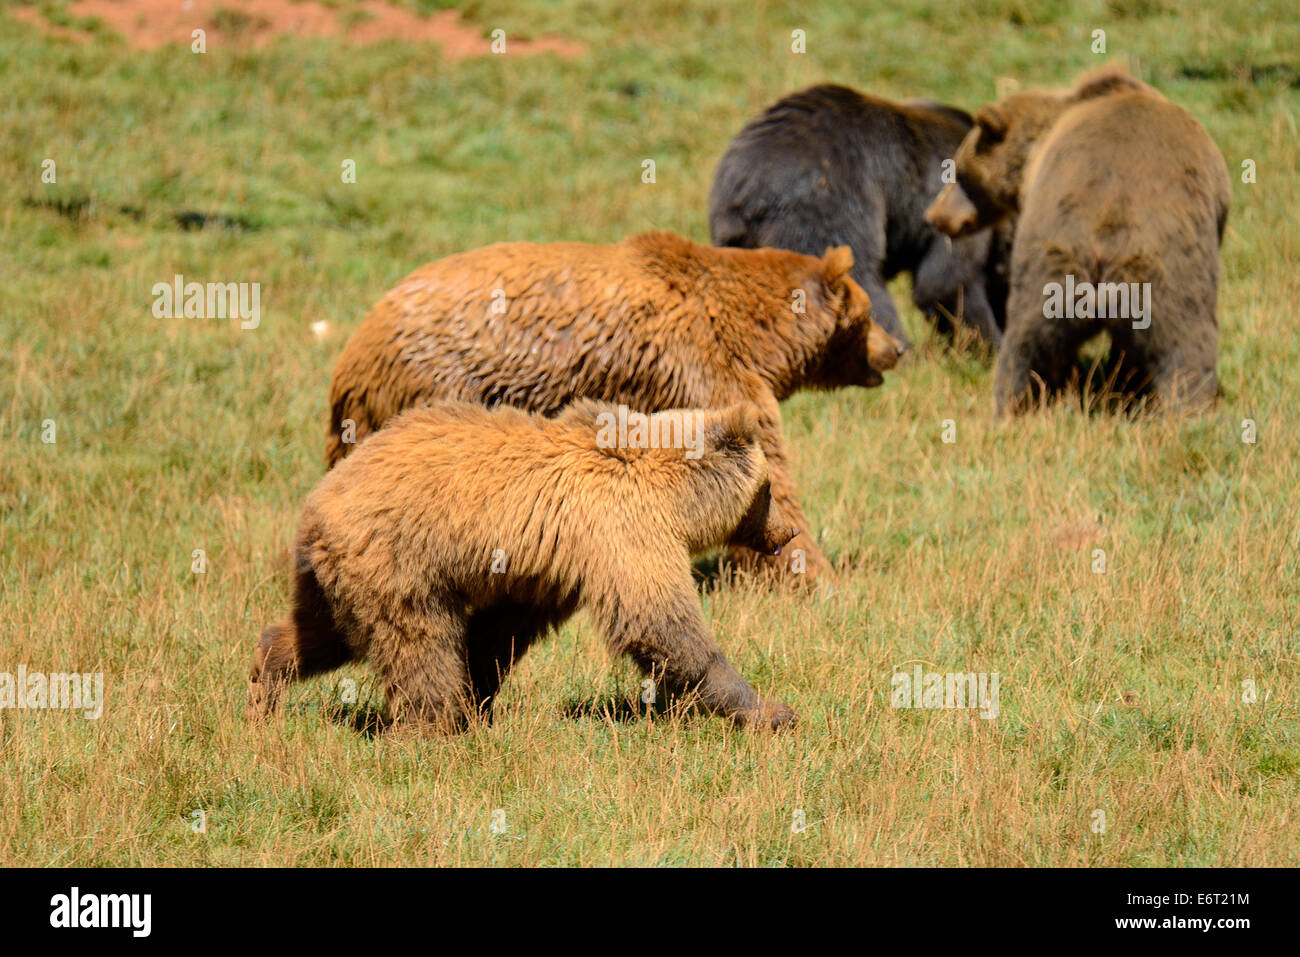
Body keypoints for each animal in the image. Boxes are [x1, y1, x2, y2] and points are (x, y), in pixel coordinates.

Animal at [248, 399, 801, 732]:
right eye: (769, 490)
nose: (788, 533)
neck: (675, 495)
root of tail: (317, 501)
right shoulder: (623, 528)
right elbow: (661, 622)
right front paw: (770, 710)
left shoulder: (545, 569)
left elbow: (501, 631)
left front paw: (480, 695)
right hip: (397, 563)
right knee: (419, 648)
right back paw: (431, 730)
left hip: (342, 576)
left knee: (319, 635)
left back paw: (264, 684)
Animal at [325, 230, 905, 582]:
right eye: (869, 313)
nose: (898, 347)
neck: (760, 336)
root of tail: (354, 351)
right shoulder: (708, 369)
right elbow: (766, 464)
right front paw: (814, 572)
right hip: (442, 385)